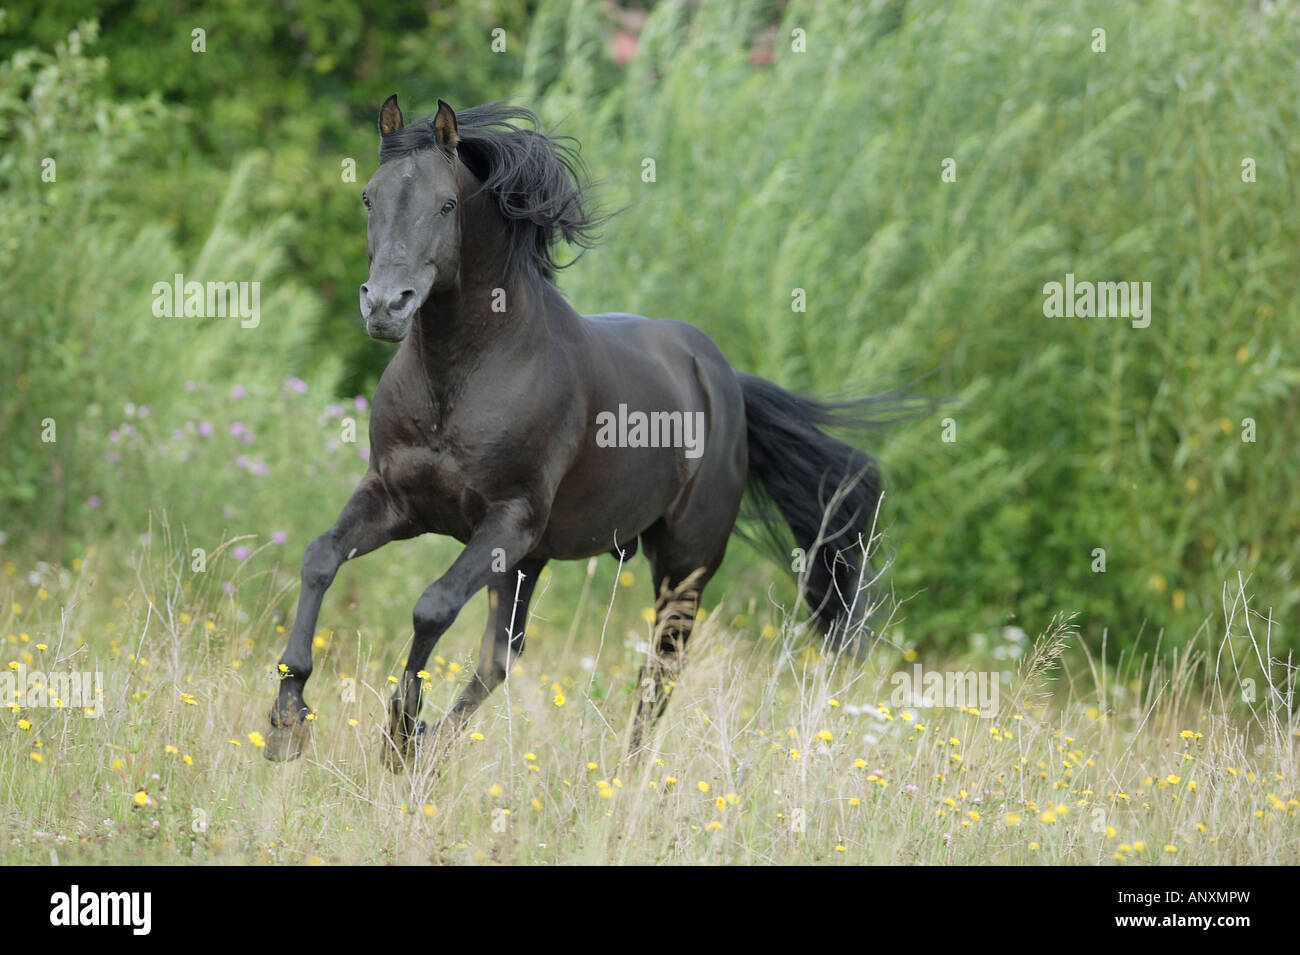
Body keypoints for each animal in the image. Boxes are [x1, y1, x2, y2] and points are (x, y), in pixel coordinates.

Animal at [266, 95, 896, 770]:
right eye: (368, 197)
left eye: (447, 204)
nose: (386, 306)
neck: (459, 377)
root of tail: (724, 381)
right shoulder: (395, 499)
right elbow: (320, 558)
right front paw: (289, 716)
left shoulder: (507, 524)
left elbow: (431, 607)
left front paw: (400, 732)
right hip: (530, 564)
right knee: (501, 657)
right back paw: (439, 748)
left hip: (683, 563)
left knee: (660, 668)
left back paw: (623, 773)